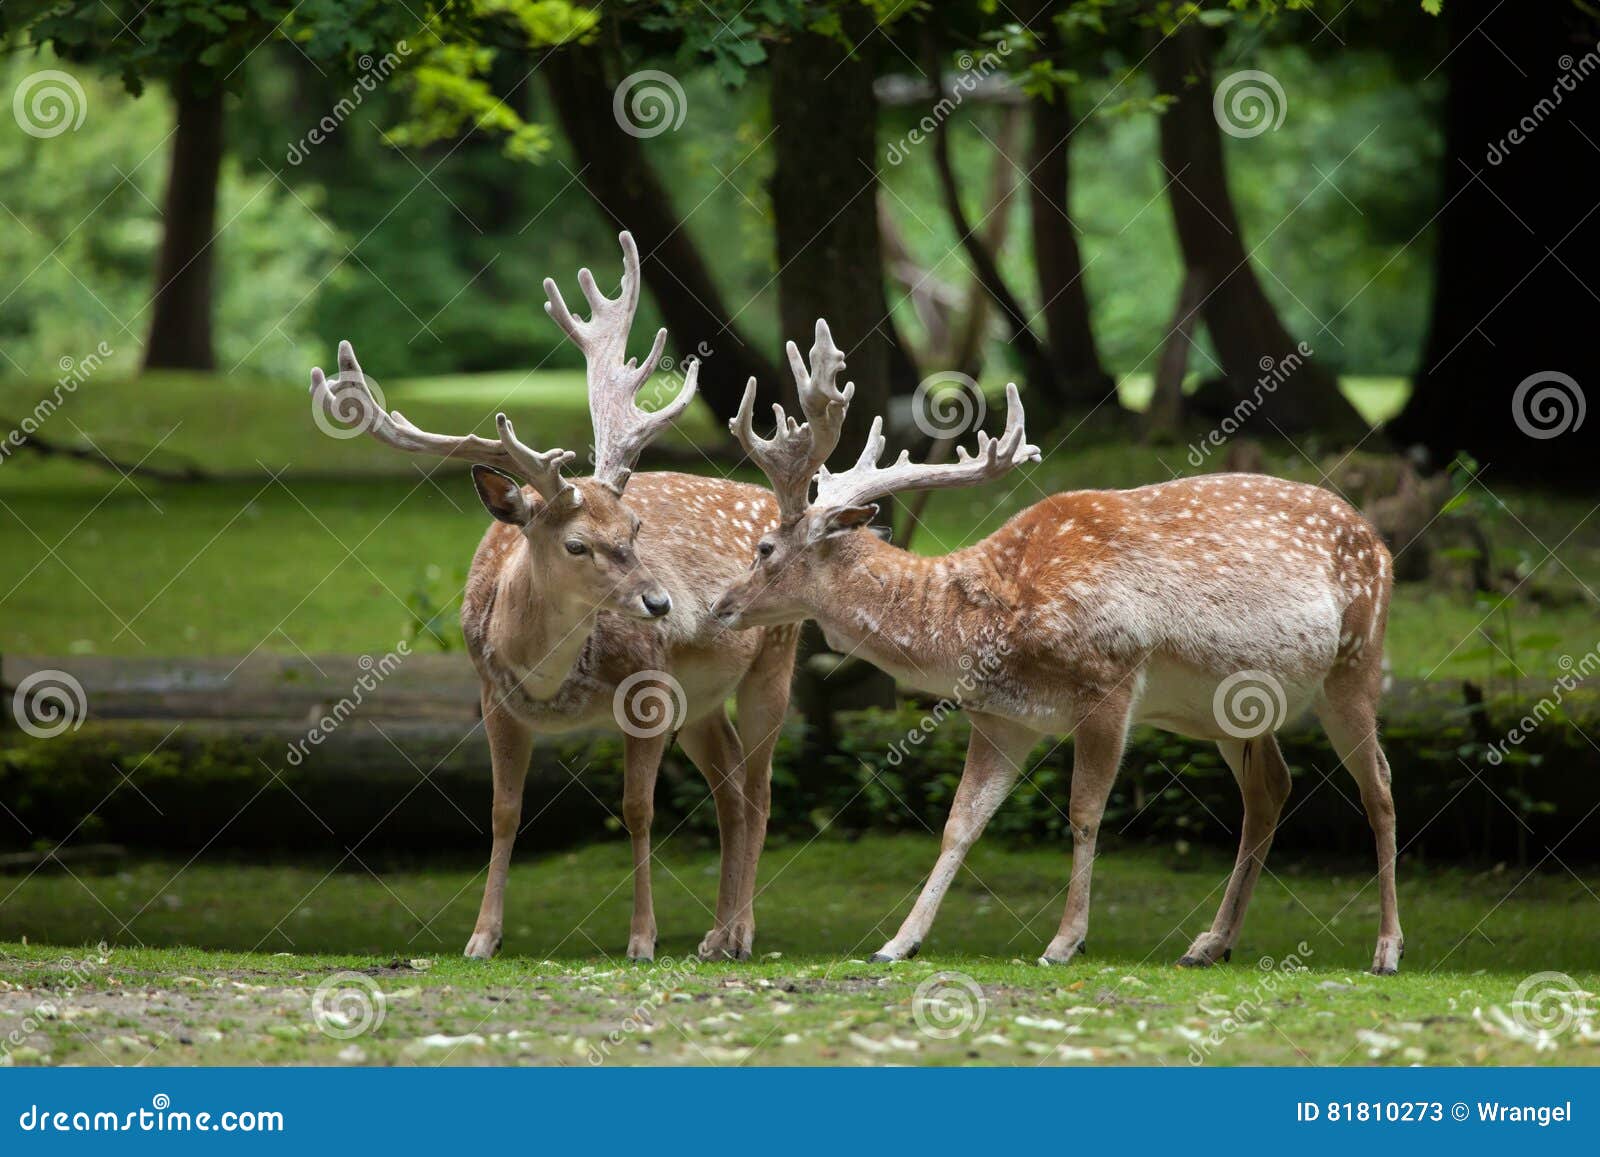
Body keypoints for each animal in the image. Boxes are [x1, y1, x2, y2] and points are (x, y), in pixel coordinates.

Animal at [308, 232, 799, 963]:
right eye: (575, 544)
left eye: (635, 526)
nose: (664, 606)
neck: (549, 683)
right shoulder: (493, 697)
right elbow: (502, 812)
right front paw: (481, 936)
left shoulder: (649, 690)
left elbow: (637, 810)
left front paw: (642, 938)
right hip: (703, 699)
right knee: (733, 787)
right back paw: (715, 934)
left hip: (776, 652)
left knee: (762, 789)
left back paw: (737, 933)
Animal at [711, 346, 1403, 975]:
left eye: (763, 548)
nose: (720, 605)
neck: (994, 624)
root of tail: (1381, 544)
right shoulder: (1000, 717)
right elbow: (959, 823)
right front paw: (898, 942)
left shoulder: (1111, 680)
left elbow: (1085, 813)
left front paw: (1064, 942)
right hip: (1236, 708)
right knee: (1271, 788)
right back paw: (1210, 944)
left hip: (1356, 661)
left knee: (1379, 785)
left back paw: (1386, 950)